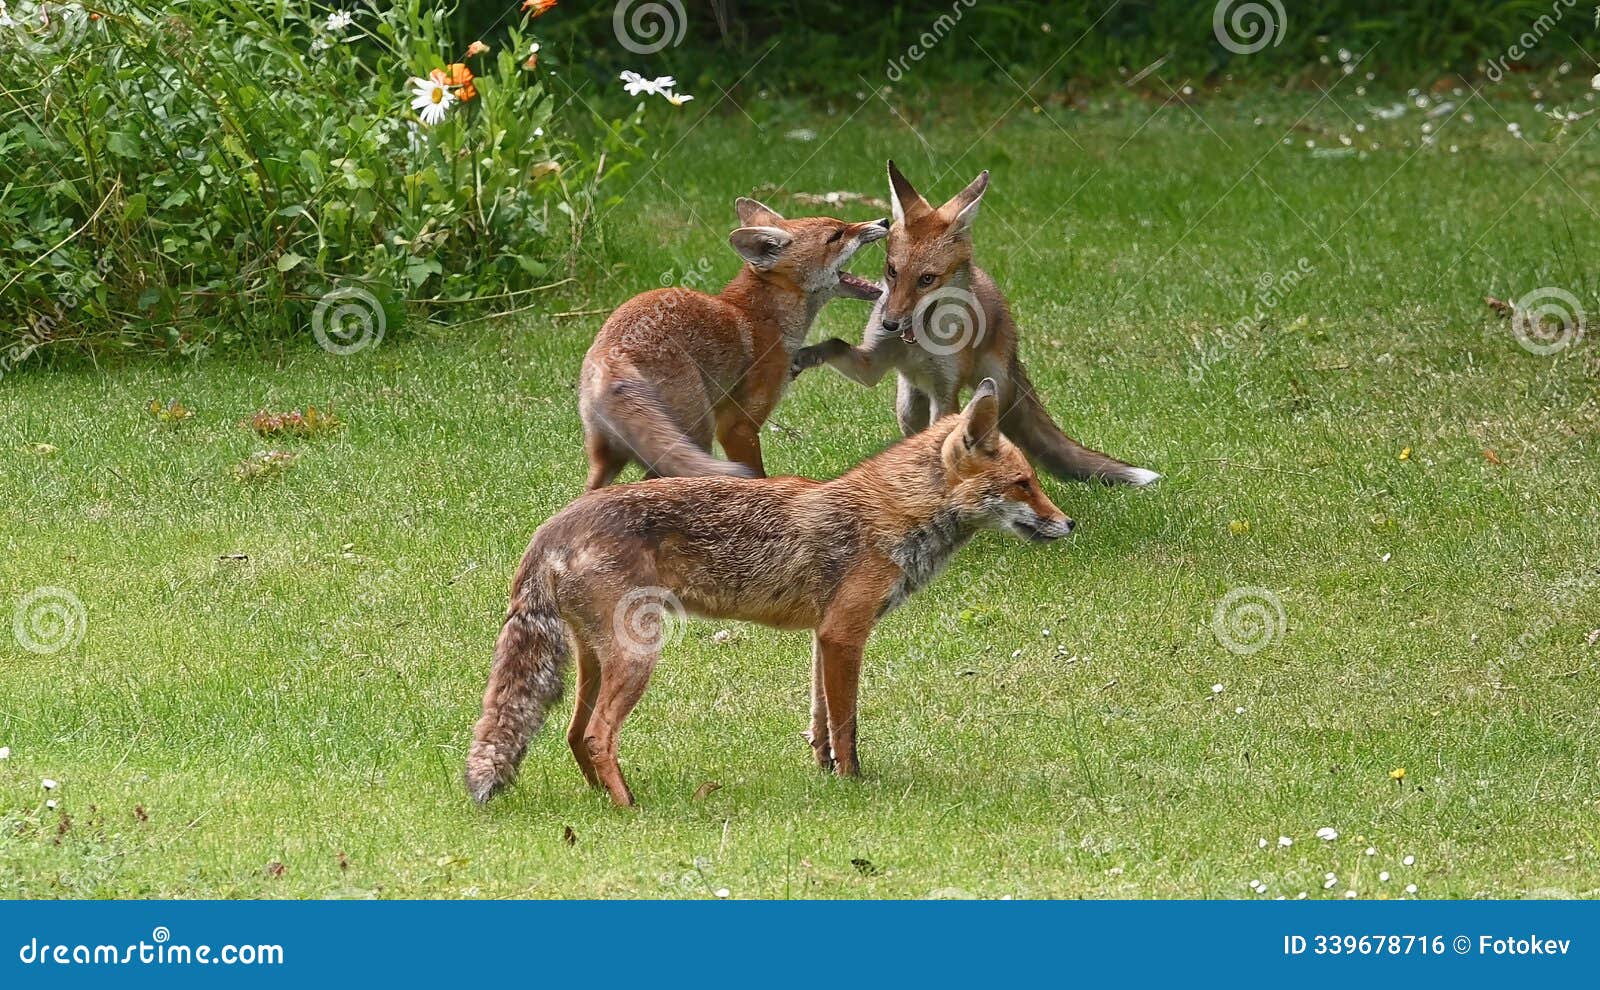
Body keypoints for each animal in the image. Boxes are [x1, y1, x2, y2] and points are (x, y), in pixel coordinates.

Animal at [465, 378, 1074, 807]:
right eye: (1024, 484)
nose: (1068, 524)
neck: (890, 516)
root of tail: (553, 524)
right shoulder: (844, 633)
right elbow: (847, 725)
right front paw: (855, 788)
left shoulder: (823, 636)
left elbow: (821, 722)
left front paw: (826, 777)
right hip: (636, 656)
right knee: (595, 735)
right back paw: (629, 808)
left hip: (592, 658)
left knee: (573, 733)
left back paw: (599, 800)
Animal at [577, 198, 888, 489]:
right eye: (836, 235)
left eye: (842, 223)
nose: (884, 221)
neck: (766, 317)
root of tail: (611, 353)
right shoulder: (737, 426)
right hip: (695, 435)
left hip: (610, 458)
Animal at [792, 161, 1160, 486]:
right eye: (892, 271)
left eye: (927, 279)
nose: (891, 322)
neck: (917, 339)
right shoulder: (873, 365)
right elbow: (836, 344)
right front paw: (804, 356)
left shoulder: (946, 390)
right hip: (907, 405)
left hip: (988, 388)